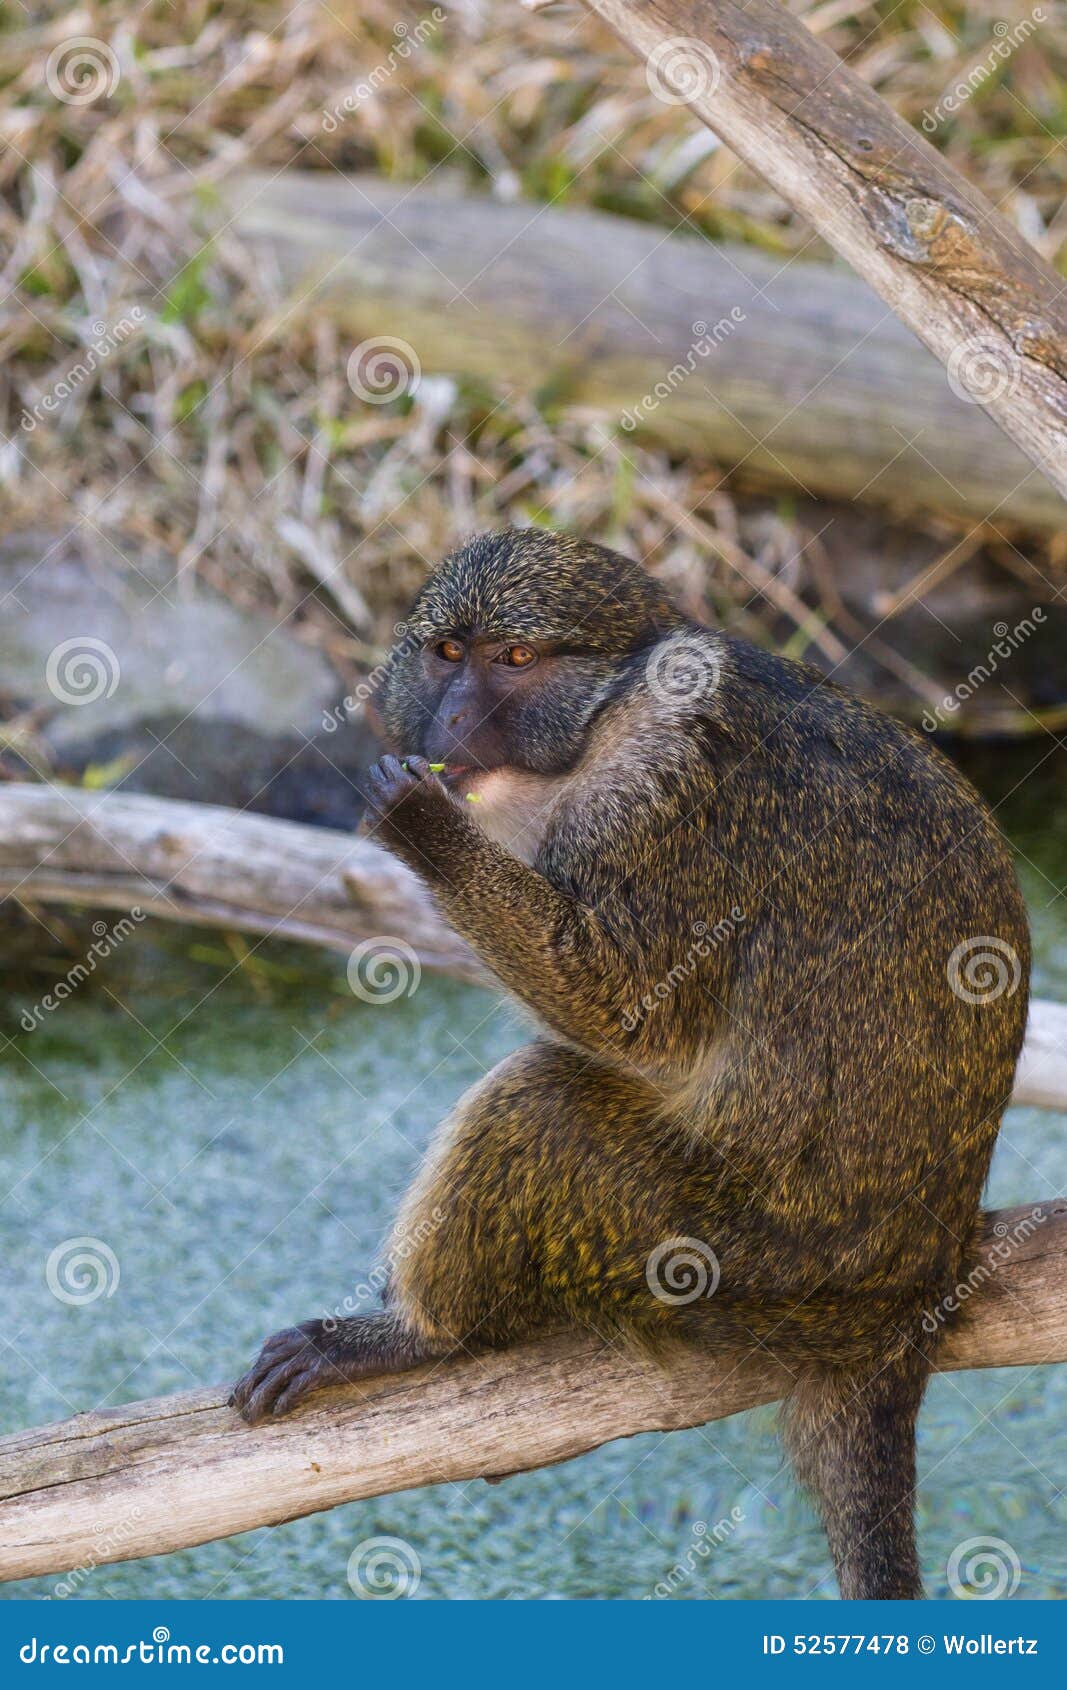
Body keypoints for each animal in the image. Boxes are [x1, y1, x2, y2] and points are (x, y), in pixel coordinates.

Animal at [232, 527, 1030, 1601]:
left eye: (516, 661)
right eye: (448, 653)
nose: (452, 716)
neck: (610, 709)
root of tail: (906, 1295)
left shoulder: (657, 798)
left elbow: (627, 1014)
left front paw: (426, 829)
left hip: (724, 1264)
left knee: (538, 1104)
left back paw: (423, 1337)